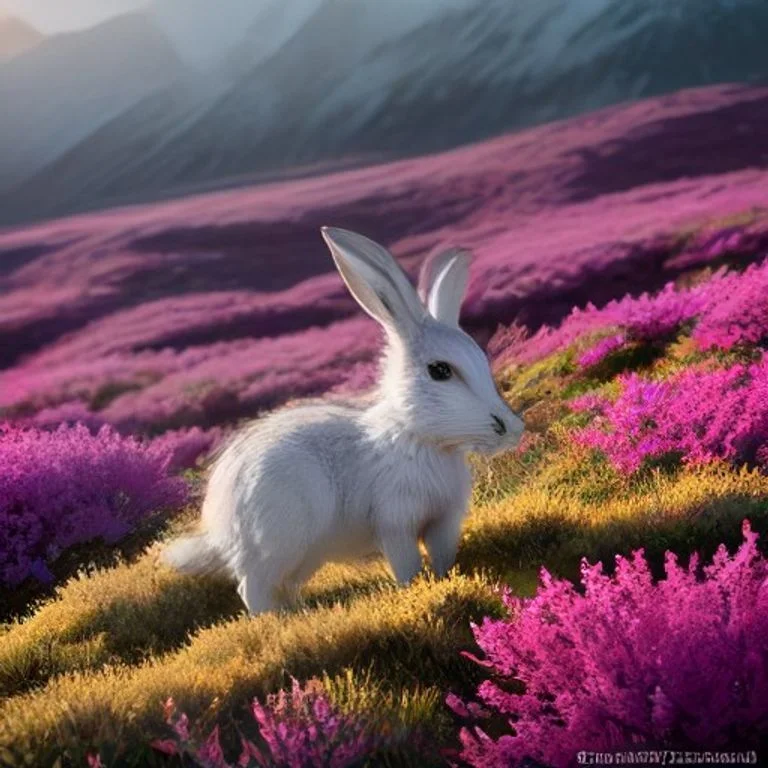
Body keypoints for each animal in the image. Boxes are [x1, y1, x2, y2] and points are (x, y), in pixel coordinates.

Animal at [161, 227, 524, 615]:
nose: (513, 429)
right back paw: (274, 620)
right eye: (440, 371)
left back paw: (299, 613)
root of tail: (221, 523)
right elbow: (407, 565)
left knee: (283, 587)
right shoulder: (395, 524)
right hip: (277, 540)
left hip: (305, 556)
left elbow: (443, 560)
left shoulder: (443, 523)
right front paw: (413, 590)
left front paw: (444, 583)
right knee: (252, 588)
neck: (416, 436)